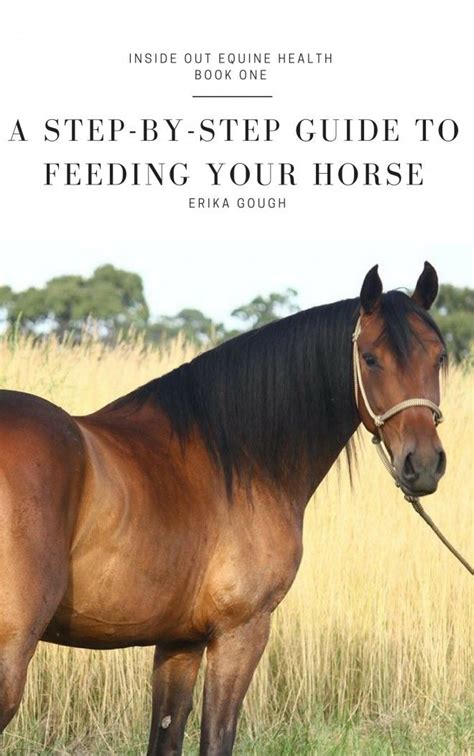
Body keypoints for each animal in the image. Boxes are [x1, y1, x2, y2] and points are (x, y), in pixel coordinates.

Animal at [0, 262, 447, 754]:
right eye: (369, 358)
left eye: (439, 357)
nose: (424, 464)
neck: (238, 461)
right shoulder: (241, 632)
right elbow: (217, 737)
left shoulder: (179, 642)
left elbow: (167, 736)